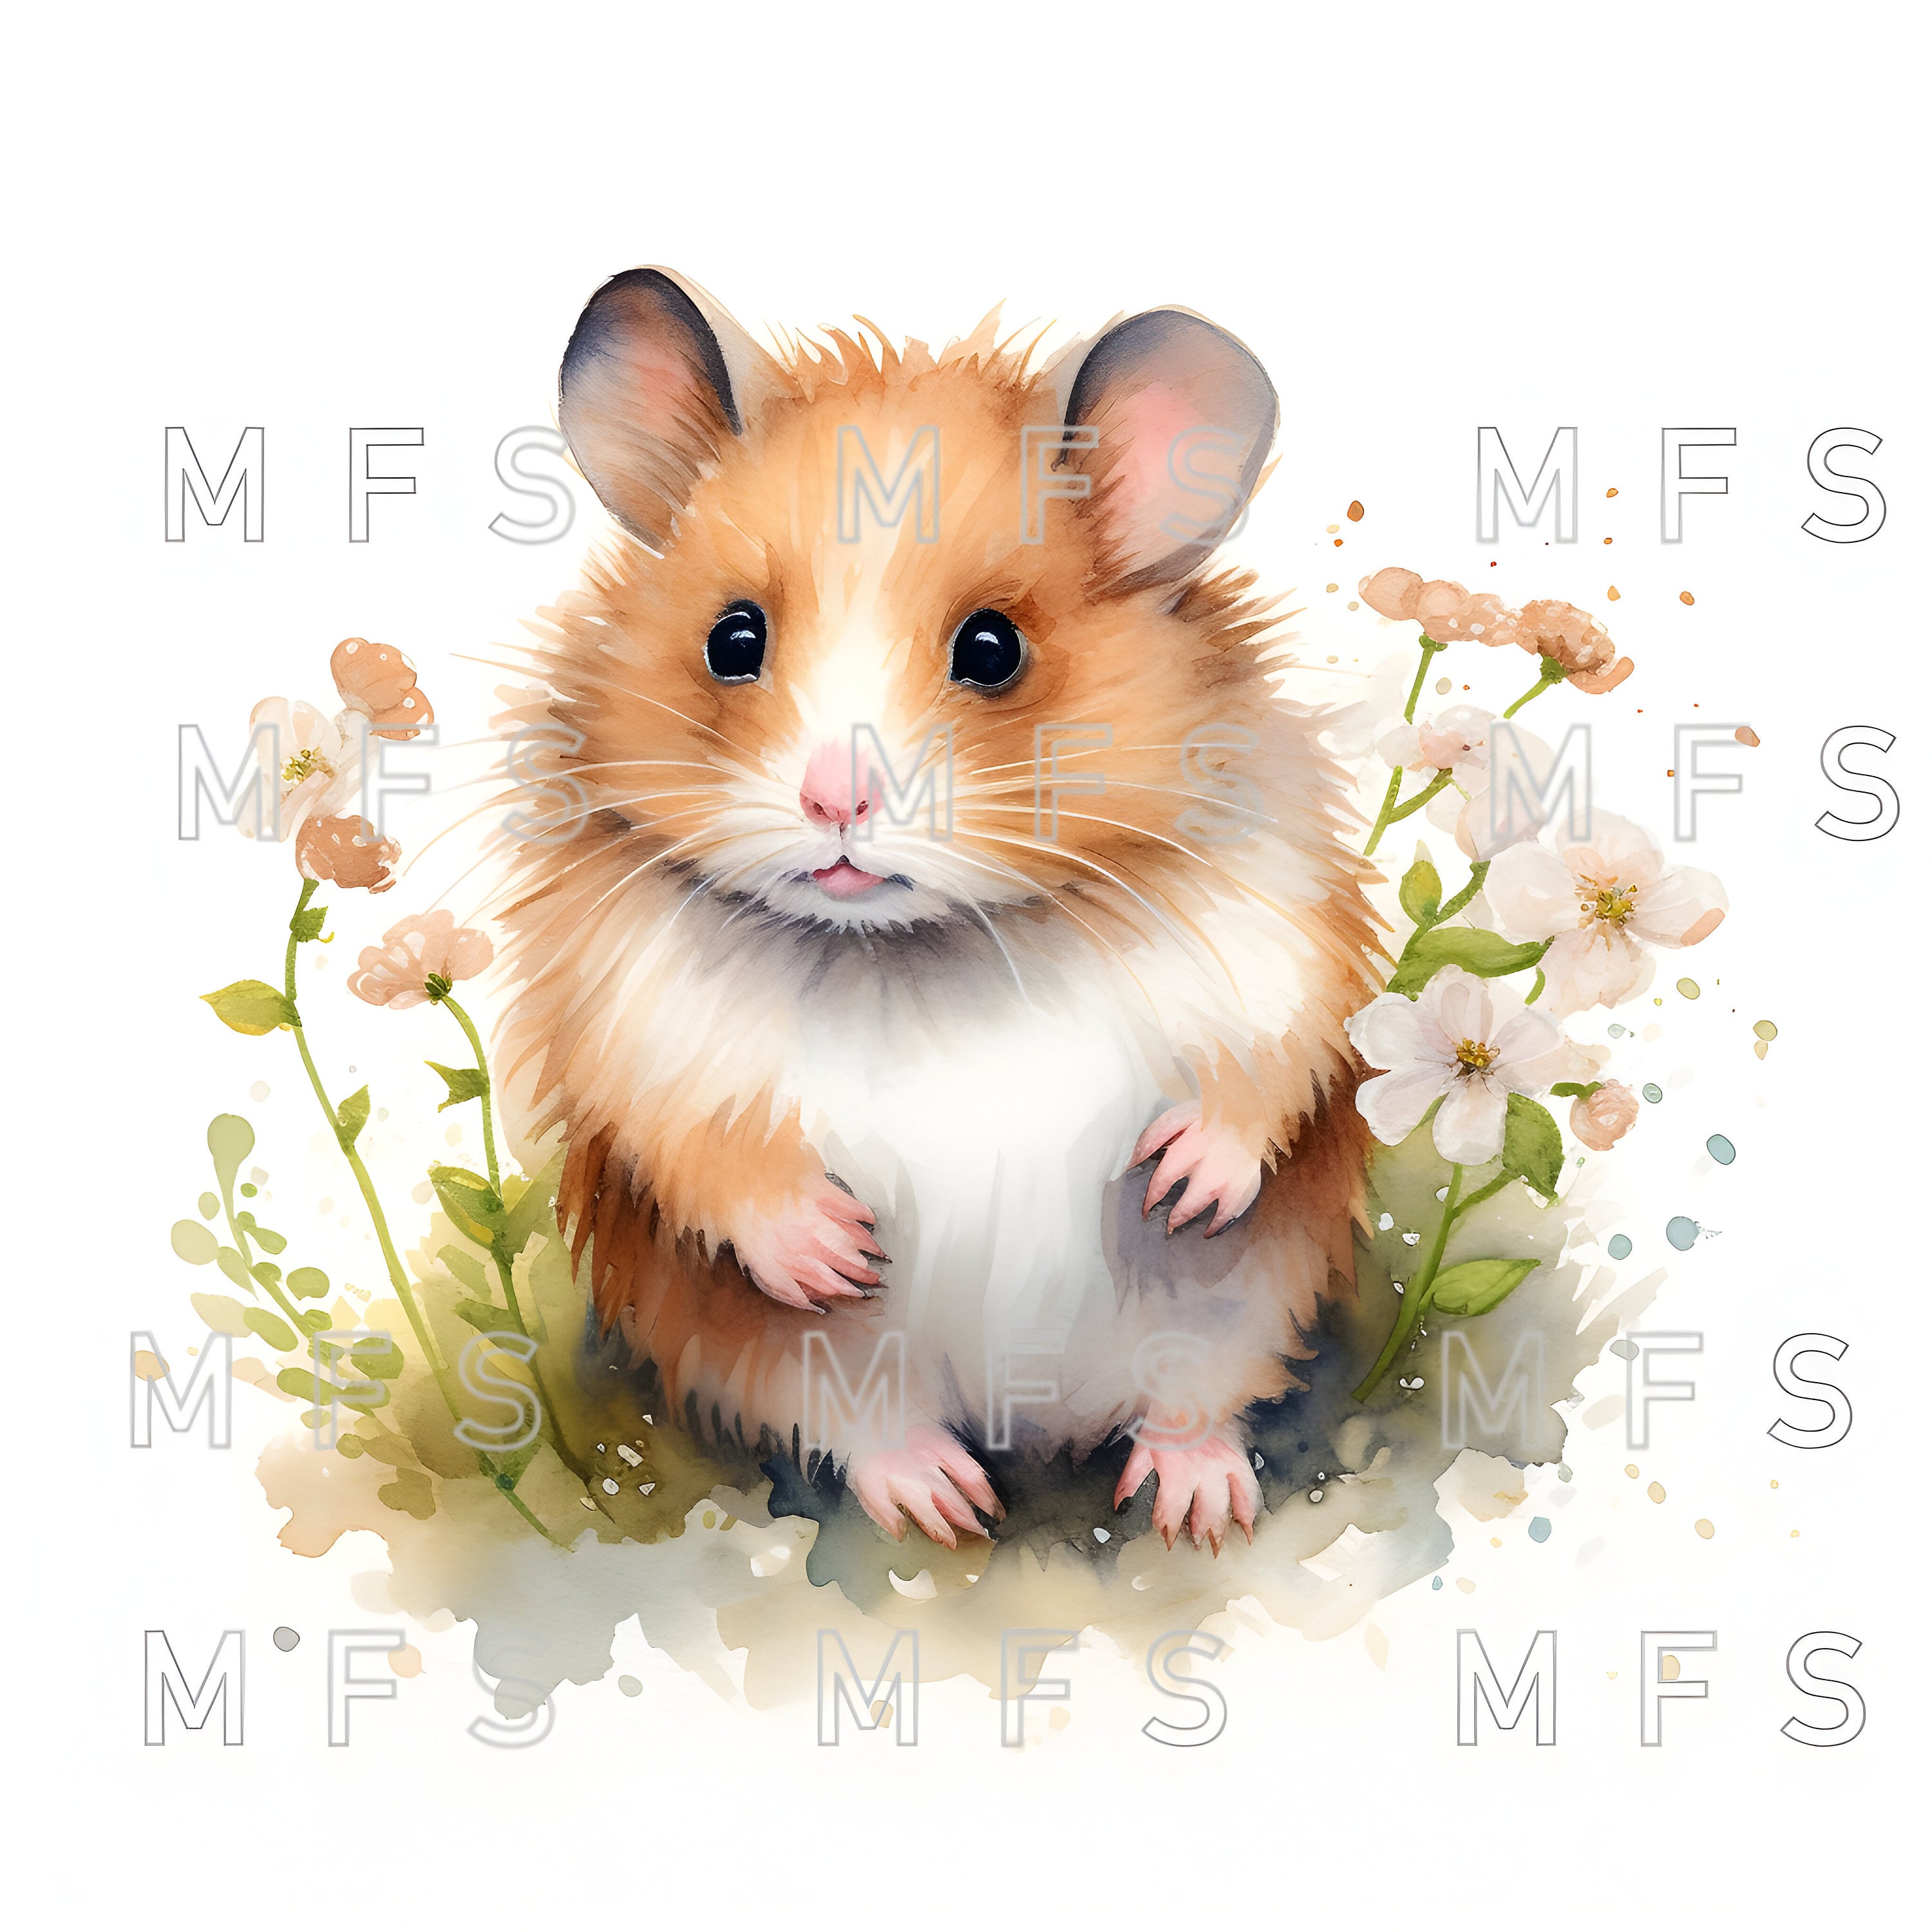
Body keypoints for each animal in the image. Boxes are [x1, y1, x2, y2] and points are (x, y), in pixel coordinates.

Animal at [493, 267, 1375, 1553]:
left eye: (993, 648)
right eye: (733, 638)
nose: (836, 800)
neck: (921, 947)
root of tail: (1030, 1420)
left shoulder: (1276, 925)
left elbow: (1267, 1064)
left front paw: (1180, 1182)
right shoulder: (627, 1011)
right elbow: (702, 1142)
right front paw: (833, 1250)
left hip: (1234, 1312)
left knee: (1189, 1403)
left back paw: (1198, 1506)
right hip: (791, 1359)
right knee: (865, 1424)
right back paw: (947, 1504)